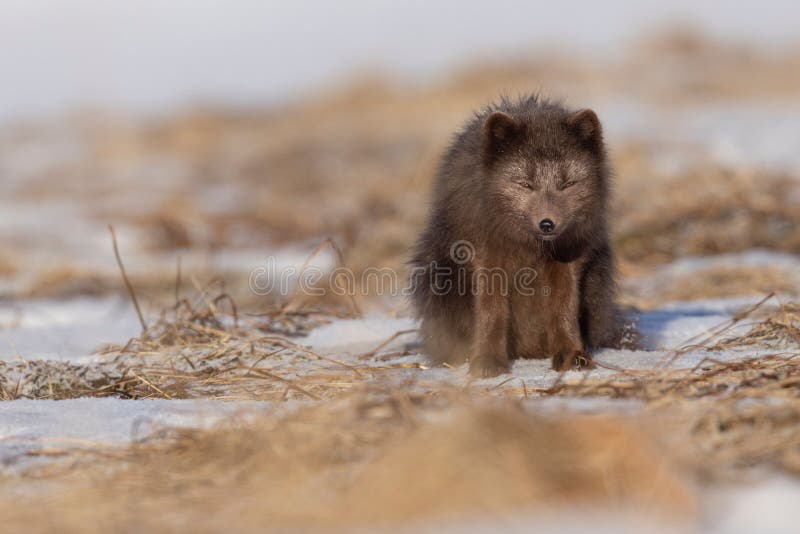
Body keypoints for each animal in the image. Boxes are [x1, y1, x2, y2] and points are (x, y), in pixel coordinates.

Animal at [410, 95, 625, 377]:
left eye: (568, 184)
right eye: (525, 184)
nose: (547, 224)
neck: (530, 249)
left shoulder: (568, 258)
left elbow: (564, 307)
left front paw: (571, 356)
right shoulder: (485, 255)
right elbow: (491, 311)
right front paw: (488, 362)